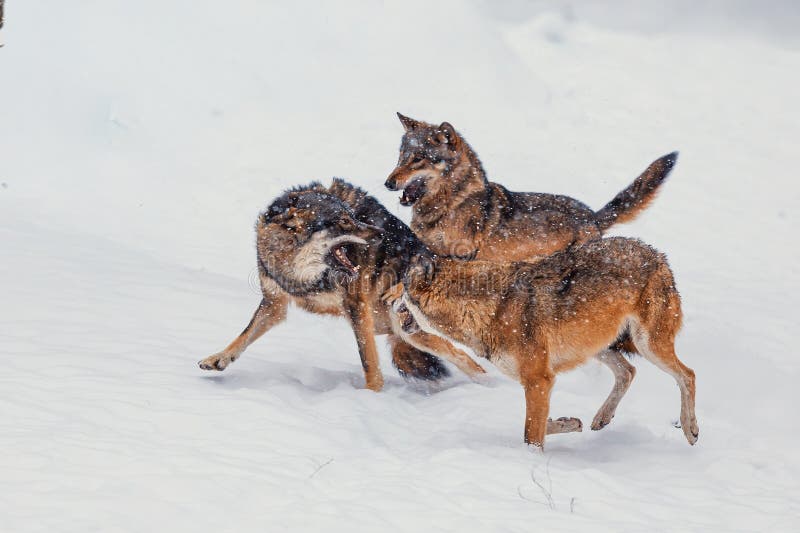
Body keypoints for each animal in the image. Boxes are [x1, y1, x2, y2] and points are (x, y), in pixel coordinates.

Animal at [199, 179, 486, 390]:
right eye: (344, 222)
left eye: (353, 216)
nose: (382, 234)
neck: (302, 275)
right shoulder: (274, 303)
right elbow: (245, 333)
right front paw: (218, 358)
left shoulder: (355, 306)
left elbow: (368, 360)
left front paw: (372, 394)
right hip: (403, 330)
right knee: (456, 354)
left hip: (415, 322)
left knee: (464, 351)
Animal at [383, 239, 698, 449]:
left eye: (399, 288)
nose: (385, 300)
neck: (486, 309)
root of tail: (658, 255)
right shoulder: (541, 381)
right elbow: (539, 423)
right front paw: (569, 422)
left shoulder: (538, 379)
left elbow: (530, 434)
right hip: (599, 348)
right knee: (628, 372)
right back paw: (601, 418)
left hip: (648, 345)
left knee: (688, 374)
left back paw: (691, 429)